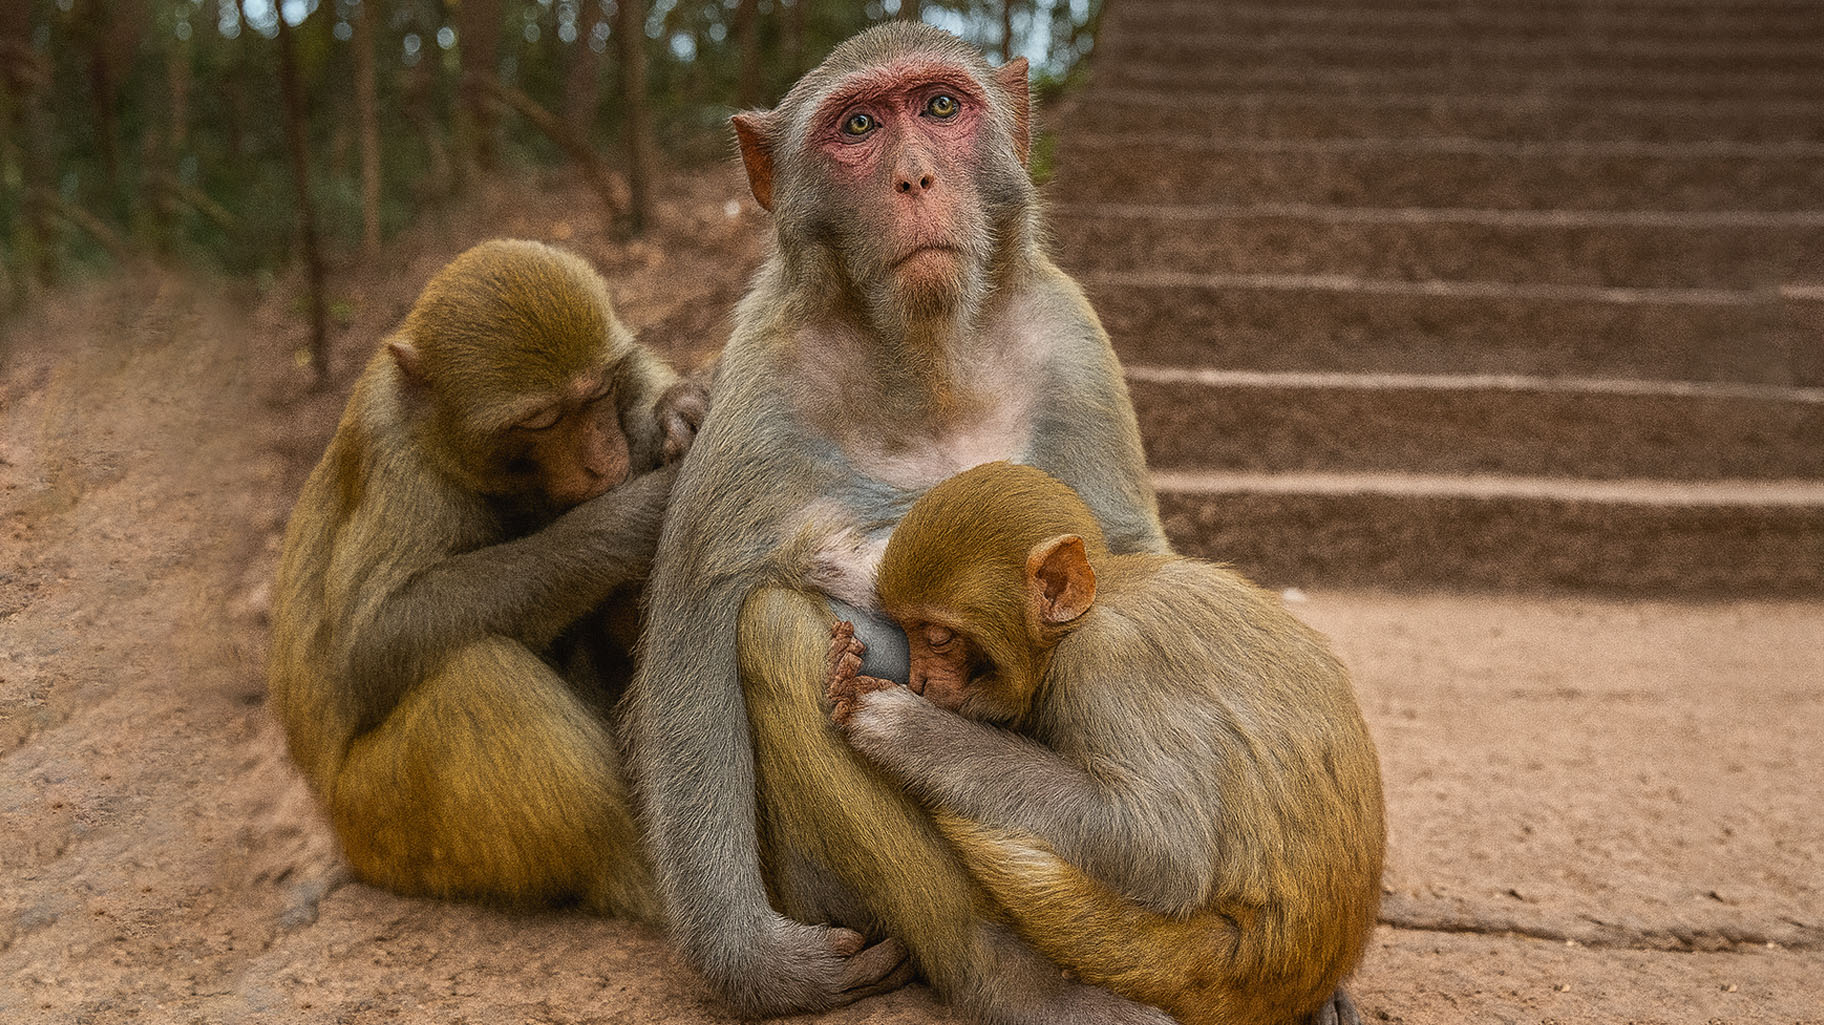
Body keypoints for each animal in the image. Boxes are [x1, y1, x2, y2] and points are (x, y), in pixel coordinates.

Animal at [267, 238, 707, 918]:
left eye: (598, 393)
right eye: (542, 420)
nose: (602, 460)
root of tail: (342, 835)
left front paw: (677, 412)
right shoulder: (395, 457)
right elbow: (373, 643)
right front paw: (627, 520)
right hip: (388, 830)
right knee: (476, 676)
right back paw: (643, 874)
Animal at [618, 22, 1231, 1024]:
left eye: (941, 106)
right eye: (859, 126)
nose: (914, 178)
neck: (927, 350)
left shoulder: (1073, 336)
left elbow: (1131, 562)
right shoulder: (762, 379)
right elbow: (692, 644)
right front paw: (759, 965)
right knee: (773, 628)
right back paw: (1014, 979)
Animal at [822, 461, 1385, 1025]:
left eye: (938, 637)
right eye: (906, 631)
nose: (919, 682)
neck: (1090, 611)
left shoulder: (1108, 663)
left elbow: (1162, 843)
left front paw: (911, 730)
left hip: (1198, 963)